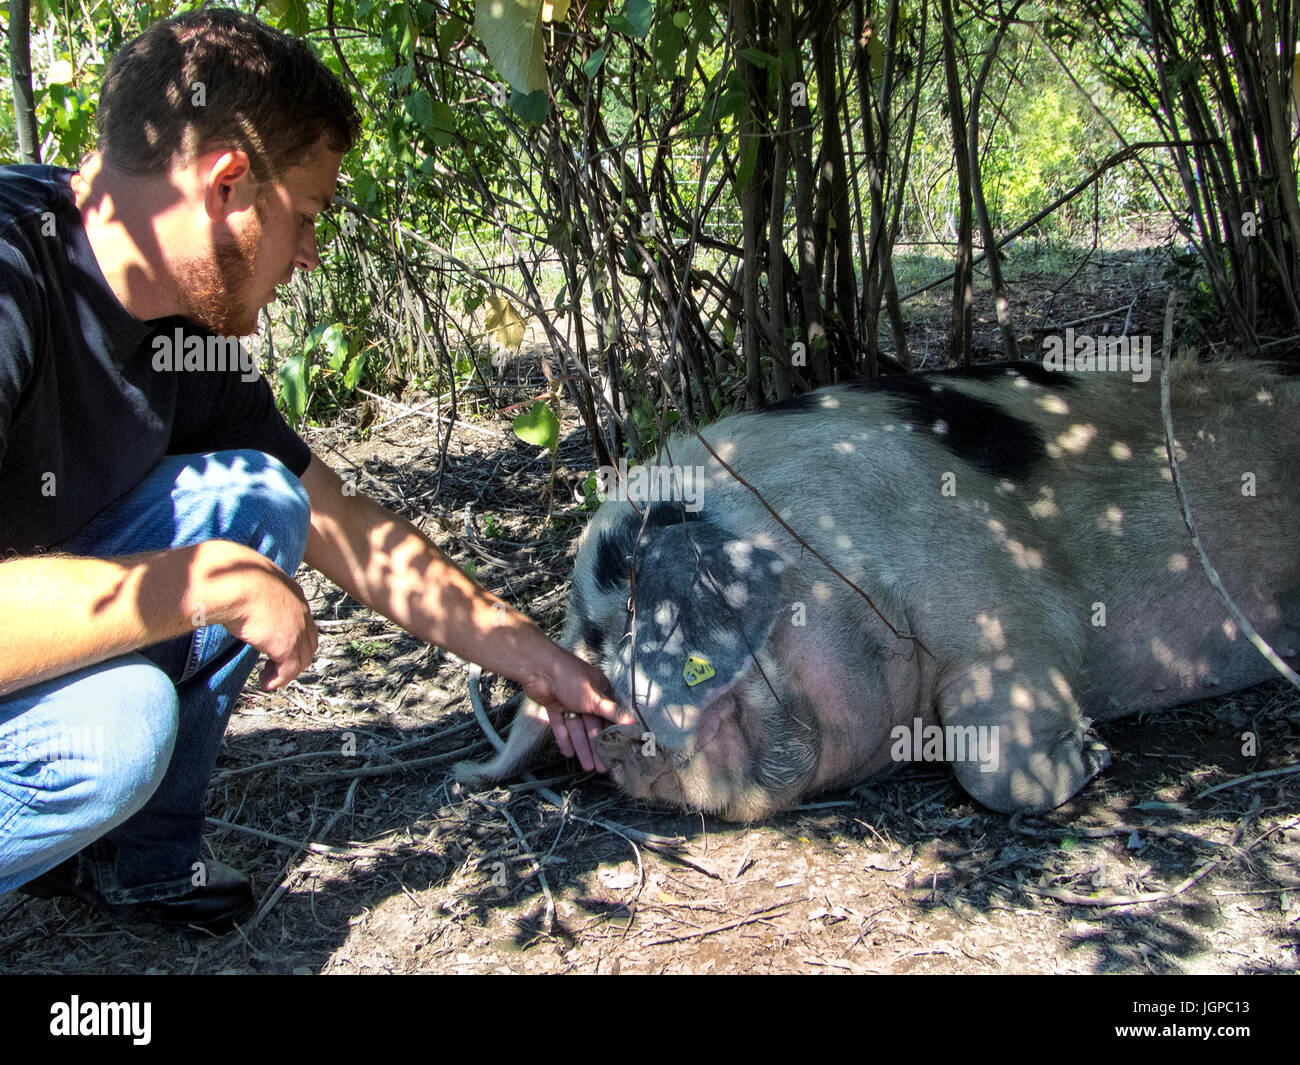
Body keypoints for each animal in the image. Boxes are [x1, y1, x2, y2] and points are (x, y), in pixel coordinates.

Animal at [457, 359, 1300, 820]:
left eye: (628, 597)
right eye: (587, 654)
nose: (610, 727)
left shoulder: (1009, 604)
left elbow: (990, 759)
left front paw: (1091, 755)